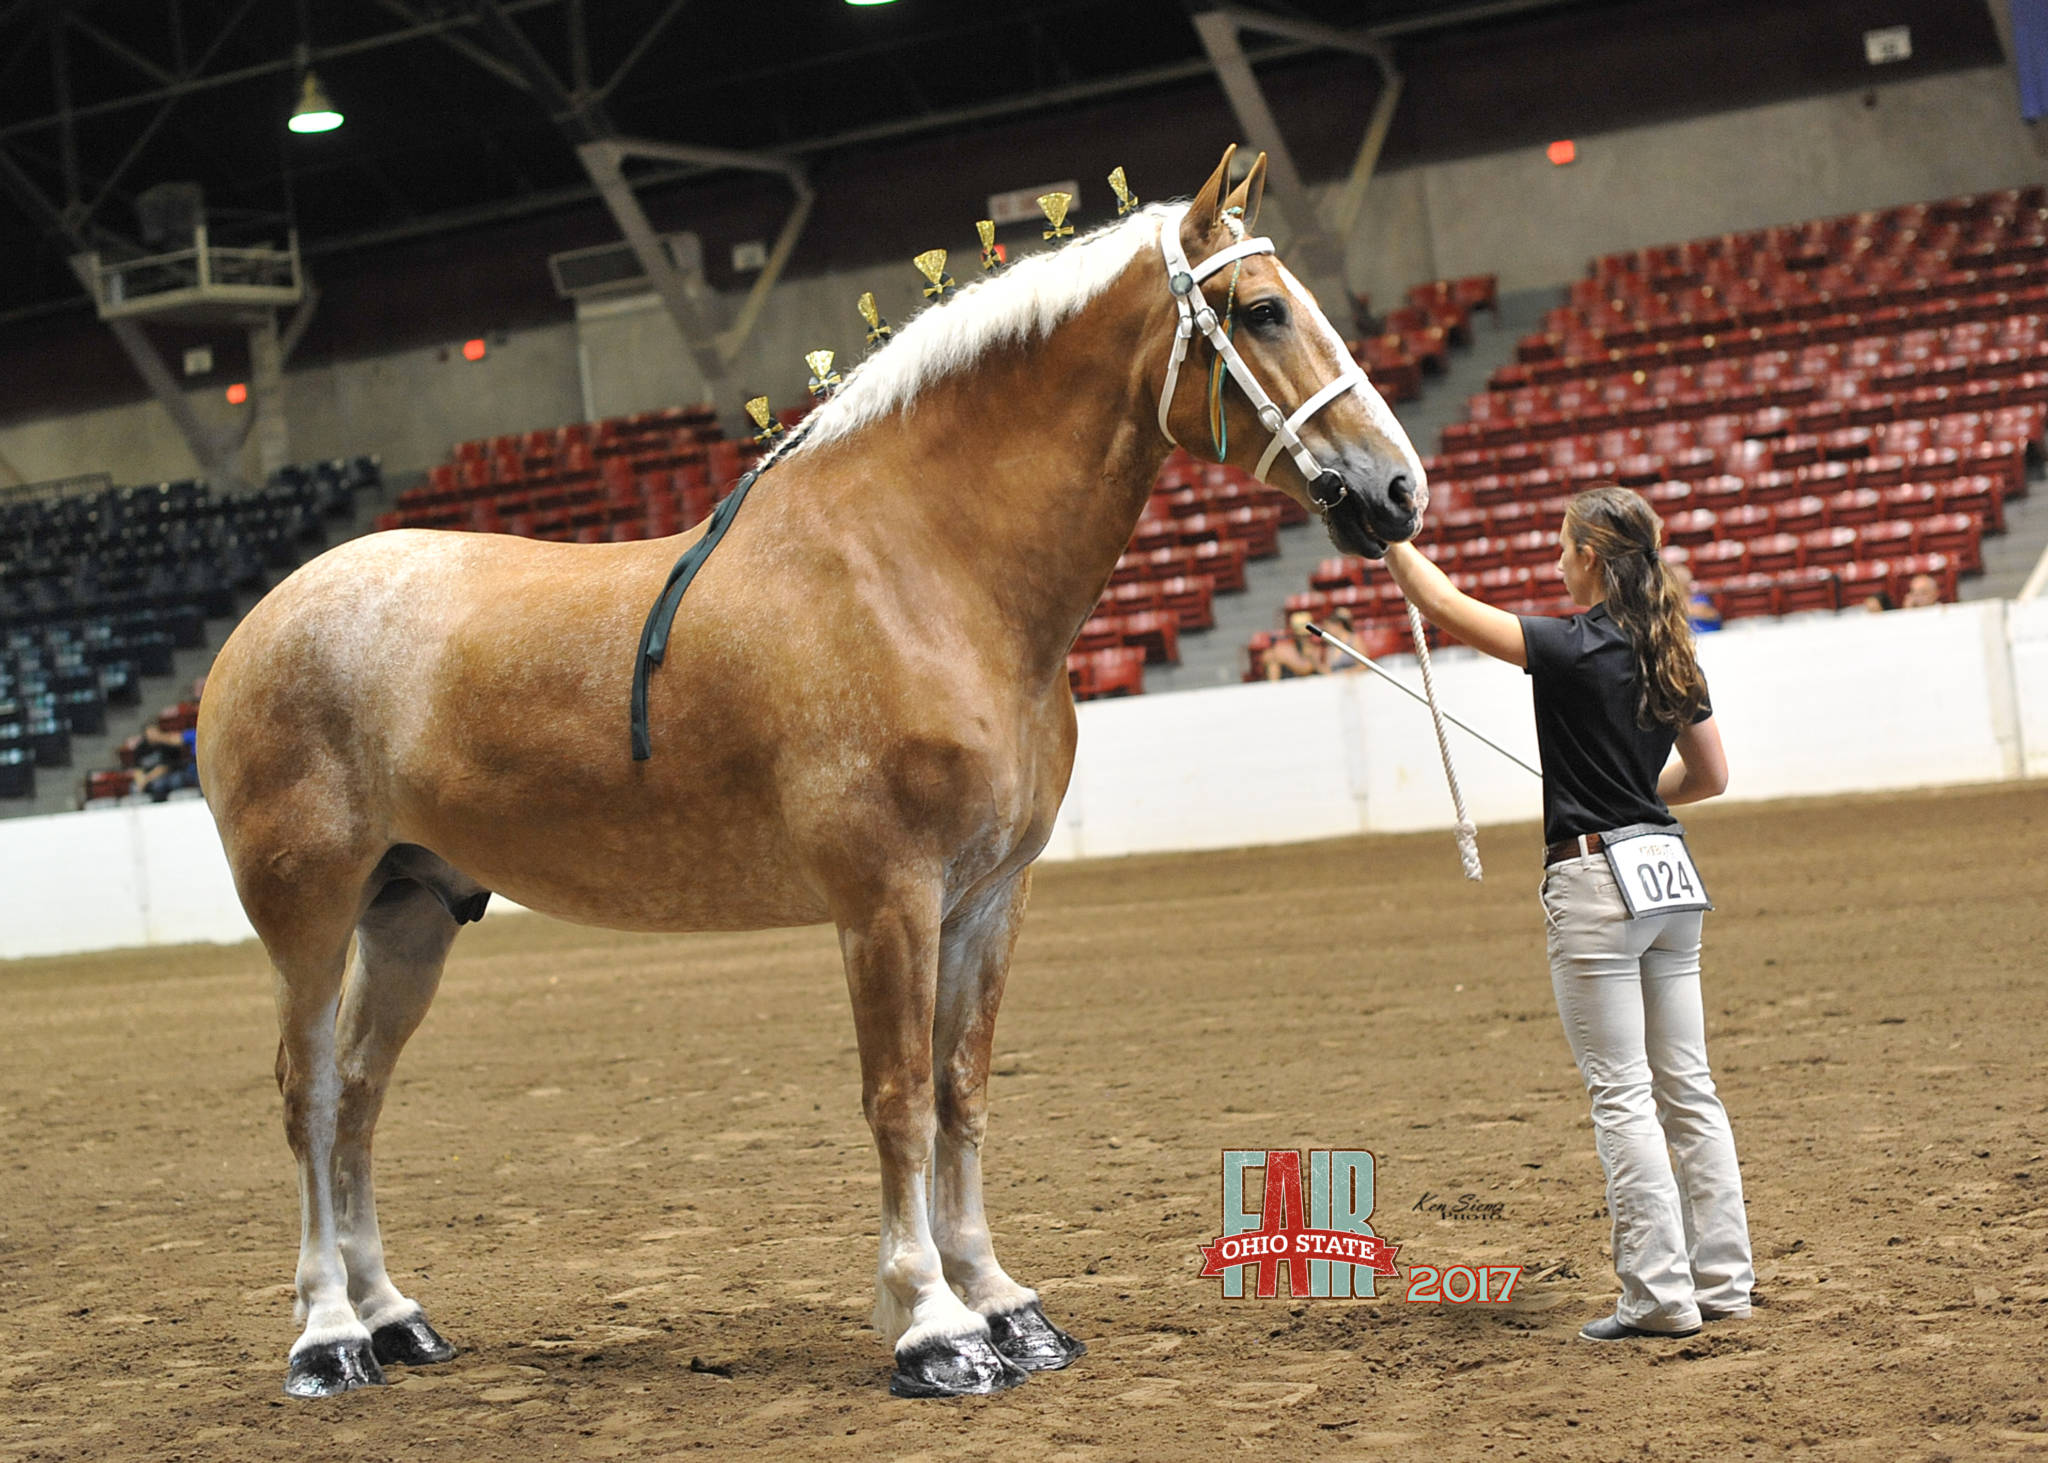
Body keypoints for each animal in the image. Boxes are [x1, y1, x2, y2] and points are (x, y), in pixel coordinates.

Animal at [196, 144, 1427, 1401]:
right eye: (1263, 309)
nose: (1397, 491)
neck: (922, 572)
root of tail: (260, 622)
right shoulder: (885, 901)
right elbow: (898, 1099)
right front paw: (933, 1322)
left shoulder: (987, 899)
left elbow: (961, 1091)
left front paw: (1005, 1304)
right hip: (309, 913)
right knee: (309, 1092)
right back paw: (327, 1333)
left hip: (410, 909)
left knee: (359, 1094)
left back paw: (392, 1315)